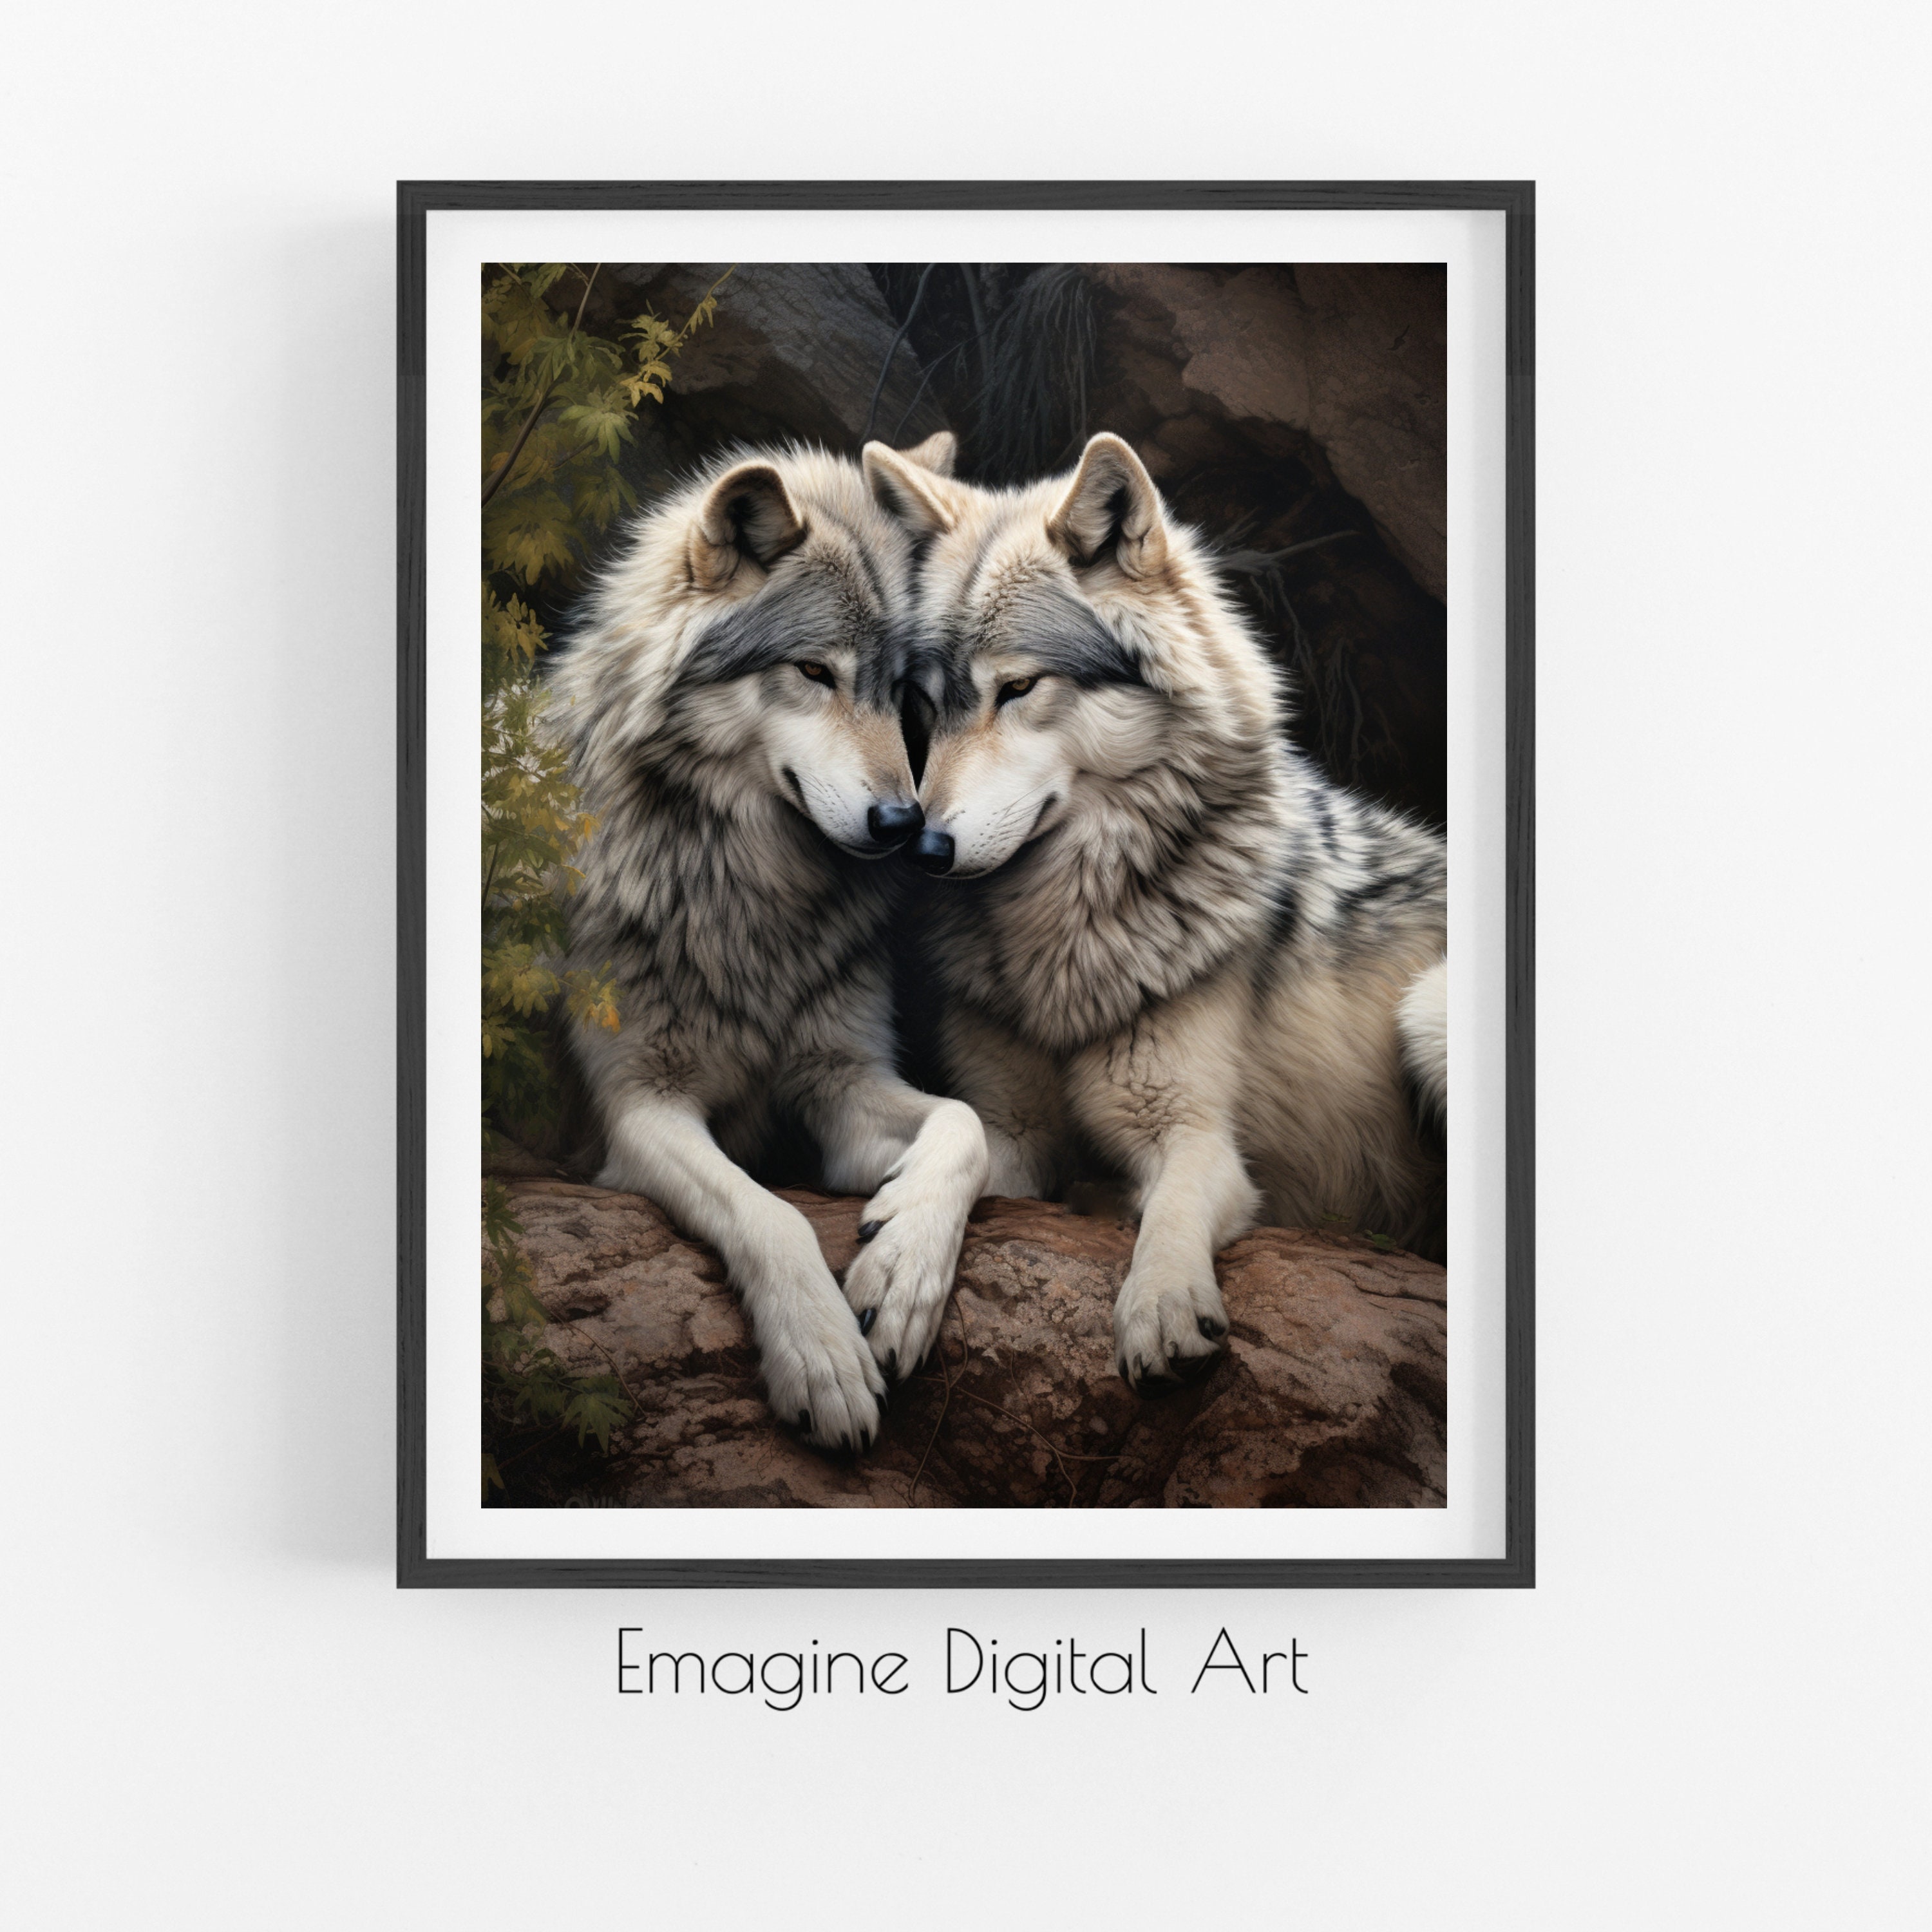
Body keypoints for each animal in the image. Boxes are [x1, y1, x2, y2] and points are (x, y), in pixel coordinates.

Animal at [548, 437, 988, 1451]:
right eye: (815, 672)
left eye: (902, 692)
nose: (902, 823)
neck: (753, 898)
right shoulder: (638, 1107)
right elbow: (768, 1211)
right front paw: (823, 1358)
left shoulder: (839, 1080)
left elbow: (966, 1125)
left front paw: (905, 1273)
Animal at [864, 431, 1448, 1392]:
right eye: (923, 703)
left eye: (1017, 689)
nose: (928, 848)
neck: (1061, 948)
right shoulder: (1013, 1126)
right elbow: (962, 1134)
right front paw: (901, 1261)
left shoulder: (1197, 1136)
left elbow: (1171, 1213)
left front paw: (1164, 1308)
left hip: (1427, 1015)